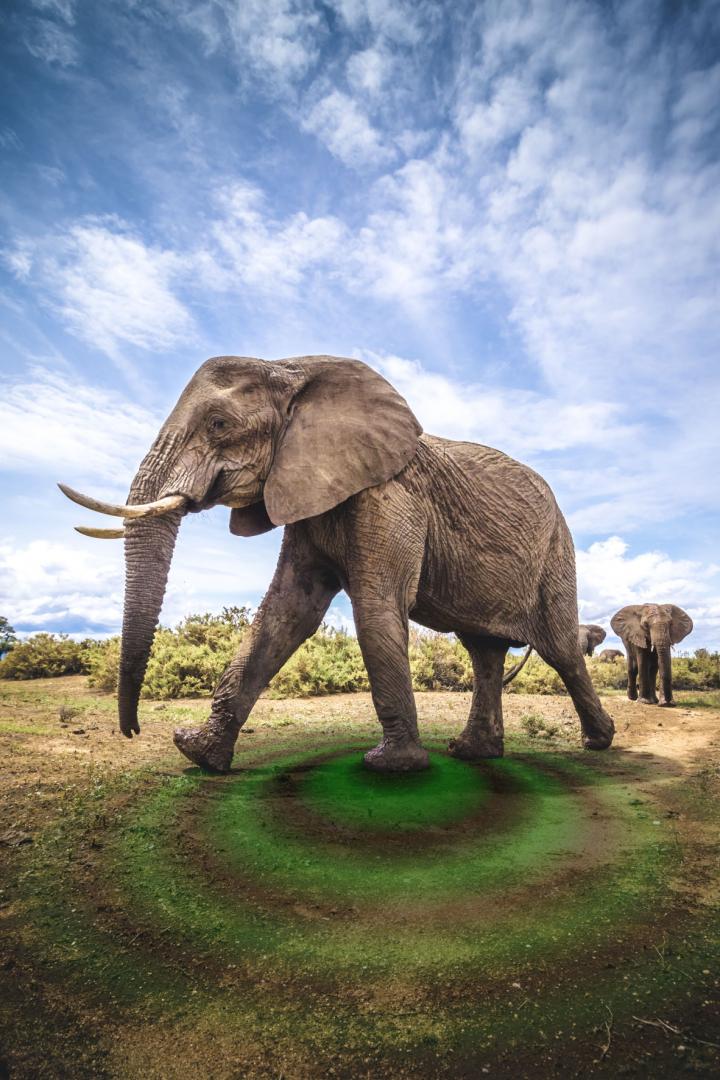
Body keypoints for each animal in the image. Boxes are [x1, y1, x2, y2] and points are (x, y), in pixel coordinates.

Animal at [60, 354, 615, 772]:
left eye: (218, 425)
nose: (132, 731)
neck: (291, 370)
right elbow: (285, 614)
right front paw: (199, 752)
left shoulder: (389, 495)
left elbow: (375, 606)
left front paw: (391, 766)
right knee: (483, 652)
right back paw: (473, 752)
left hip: (556, 551)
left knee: (560, 649)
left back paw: (598, 742)